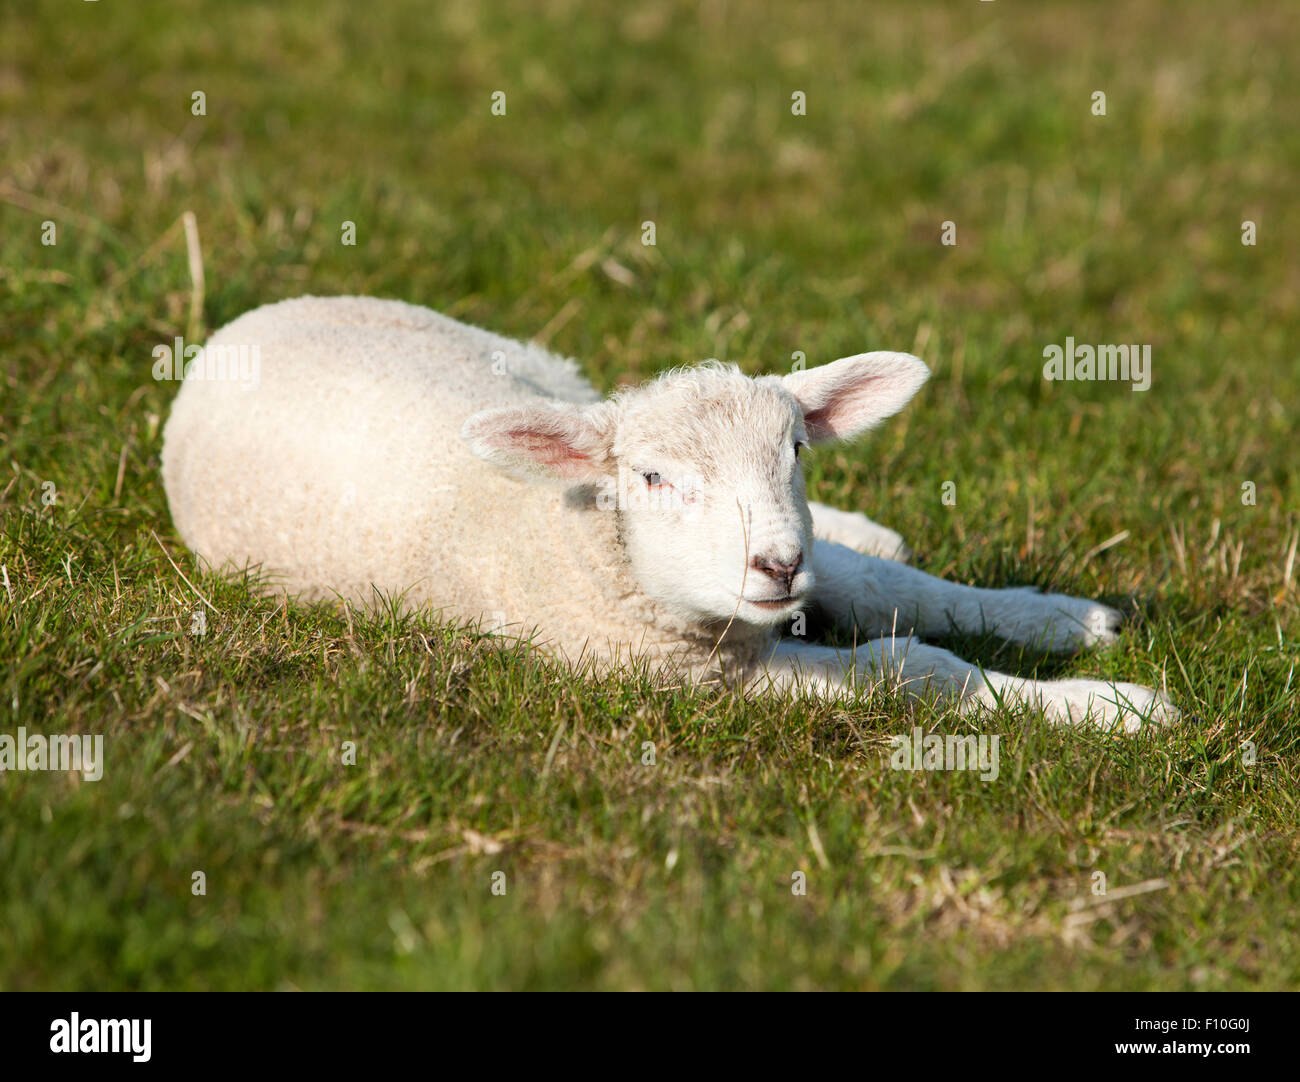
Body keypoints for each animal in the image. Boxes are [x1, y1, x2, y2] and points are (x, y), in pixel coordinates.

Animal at [161, 295, 1179, 732]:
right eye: (650, 478)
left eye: (795, 449)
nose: (777, 564)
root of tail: (237, 330)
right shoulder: (688, 680)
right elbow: (918, 668)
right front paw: (1113, 707)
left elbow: (899, 588)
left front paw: (1057, 621)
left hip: (534, 367)